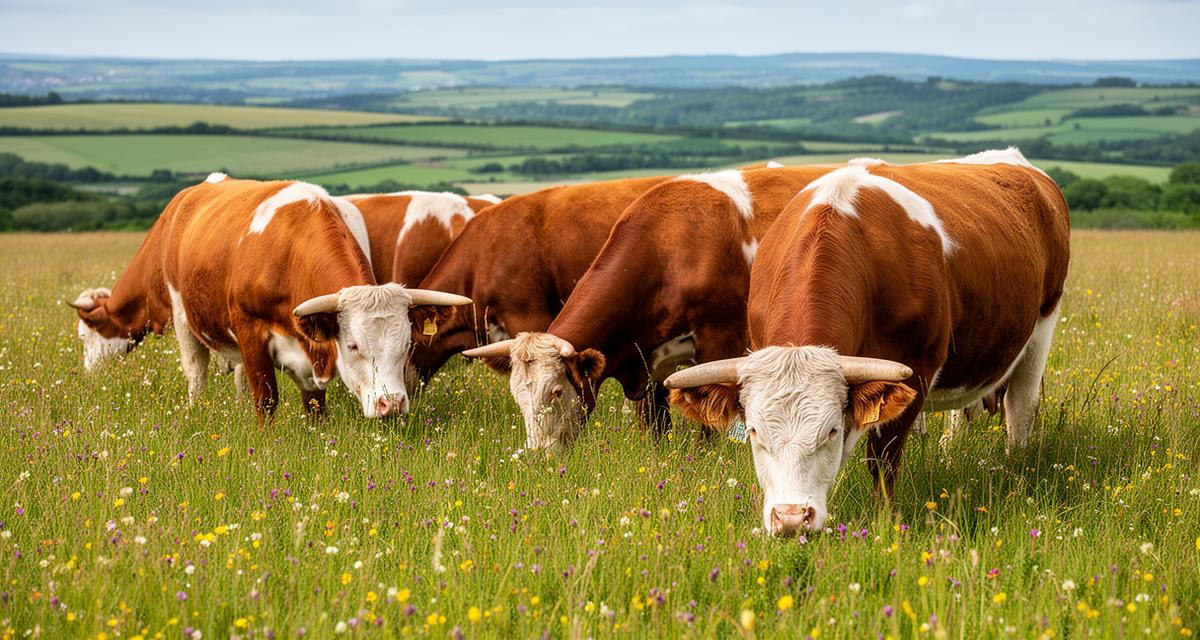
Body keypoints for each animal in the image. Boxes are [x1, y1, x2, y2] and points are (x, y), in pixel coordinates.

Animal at [159, 174, 471, 419]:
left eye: (407, 344)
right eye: (353, 346)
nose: (391, 404)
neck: (290, 257)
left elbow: (315, 406)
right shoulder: (250, 332)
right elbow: (266, 399)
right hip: (183, 319)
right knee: (196, 374)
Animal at [461, 165, 841, 453]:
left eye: (555, 391)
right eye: (517, 395)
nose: (539, 455)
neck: (671, 248)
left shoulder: (718, 343)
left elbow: (711, 425)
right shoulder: (649, 363)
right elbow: (655, 425)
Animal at [664, 149, 1070, 535]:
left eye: (830, 430)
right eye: (753, 432)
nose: (791, 518)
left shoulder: (914, 373)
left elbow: (883, 458)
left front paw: (882, 519)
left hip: (1043, 324)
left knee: (1021, 406)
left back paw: (1015, 467)